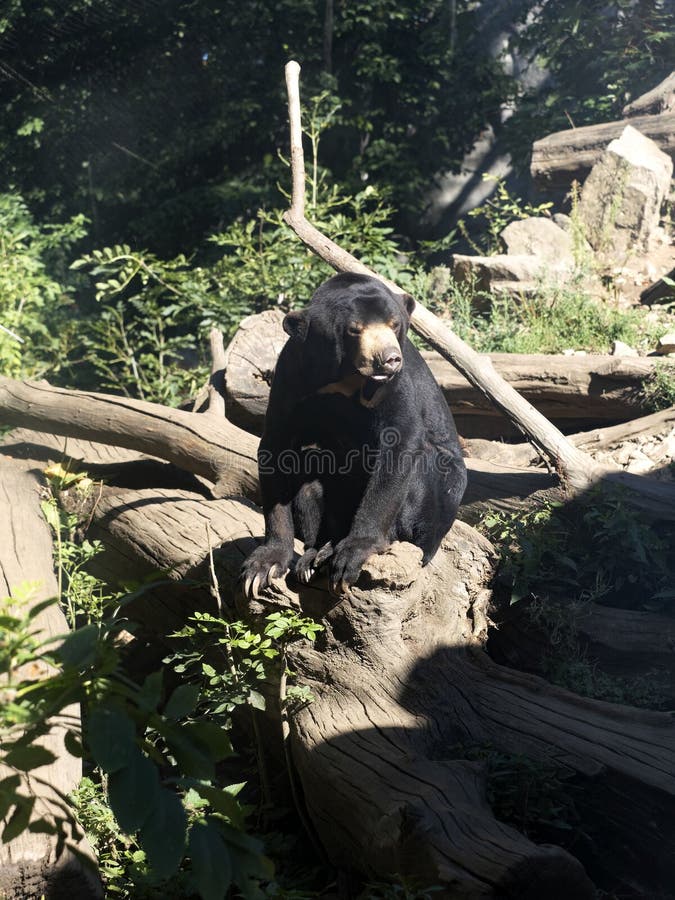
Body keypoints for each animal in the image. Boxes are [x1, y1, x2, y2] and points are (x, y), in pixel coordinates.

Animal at [241, 272, 467, 597]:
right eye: (353, 329)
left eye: (394, 324)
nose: (388, 359)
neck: (346, 379)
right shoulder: (292, 375)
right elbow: (276, 446)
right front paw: (263, 566)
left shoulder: (397, 384)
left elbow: (401, 440)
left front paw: (353, 553)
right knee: (309, 476)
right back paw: (315, 554)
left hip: (433, 503)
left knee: (423, 466)